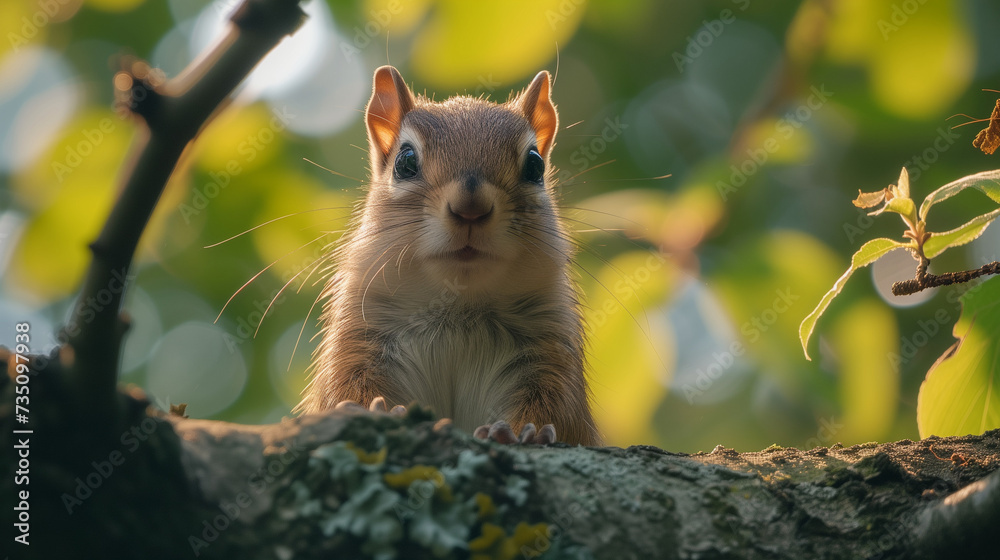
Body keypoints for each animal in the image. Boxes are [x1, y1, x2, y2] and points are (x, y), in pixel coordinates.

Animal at [296, 65, 601, 446]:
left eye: (535, 165)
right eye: (405, 161)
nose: (471, 208)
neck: (457, 304)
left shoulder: (551, 347)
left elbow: (558, 408)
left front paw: (520, 431)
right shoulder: (358, 336)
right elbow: (342, 390)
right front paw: (376, 410)